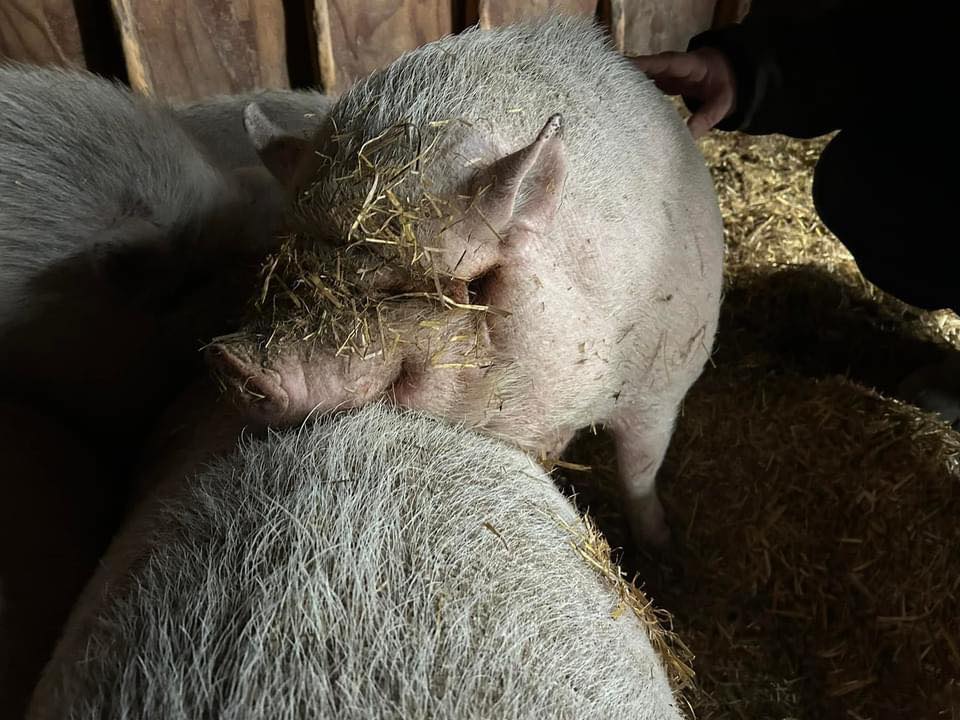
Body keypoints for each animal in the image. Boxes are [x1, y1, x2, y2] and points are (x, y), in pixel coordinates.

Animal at [210, 15, 725, 546]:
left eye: (397, 288)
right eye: (292, 264)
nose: (231, 360)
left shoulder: (667, 375)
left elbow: (639, 470)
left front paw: (660, 544)